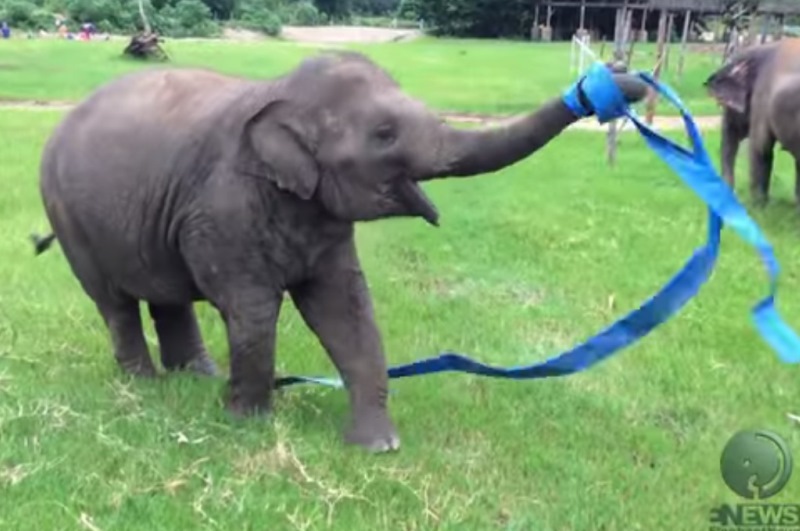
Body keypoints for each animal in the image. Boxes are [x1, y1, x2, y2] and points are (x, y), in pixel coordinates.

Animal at [33, 51, 648, 452]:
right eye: (384, 134)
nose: (618, 82)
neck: (278, 93)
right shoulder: (223, 207)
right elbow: (254, 309)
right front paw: (245, 424)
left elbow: (345, 308)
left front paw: (377, 448)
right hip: (67, 211)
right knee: (114, 301)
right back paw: (146, 385)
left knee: (167, 294)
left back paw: (199, 379)